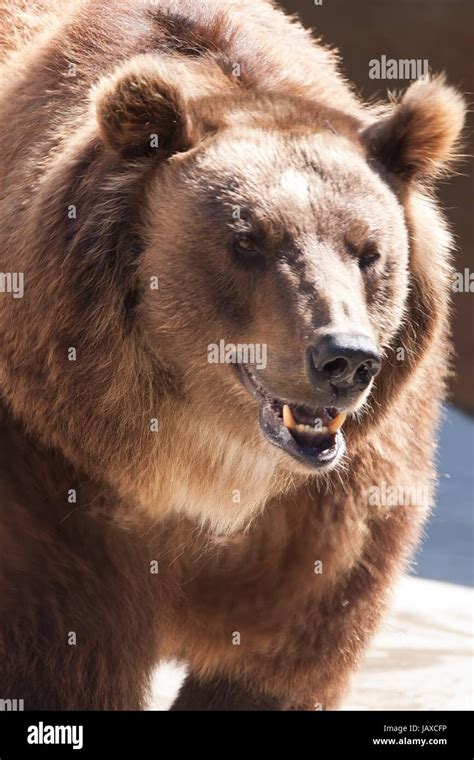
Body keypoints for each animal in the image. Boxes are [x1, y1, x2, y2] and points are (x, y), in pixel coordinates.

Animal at [0, 0, 465, 710]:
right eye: (248, 240)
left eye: (368, 251)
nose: (345, 358)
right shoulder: (48, 465)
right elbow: (58, 654)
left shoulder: (329, 513)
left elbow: (281, 661)